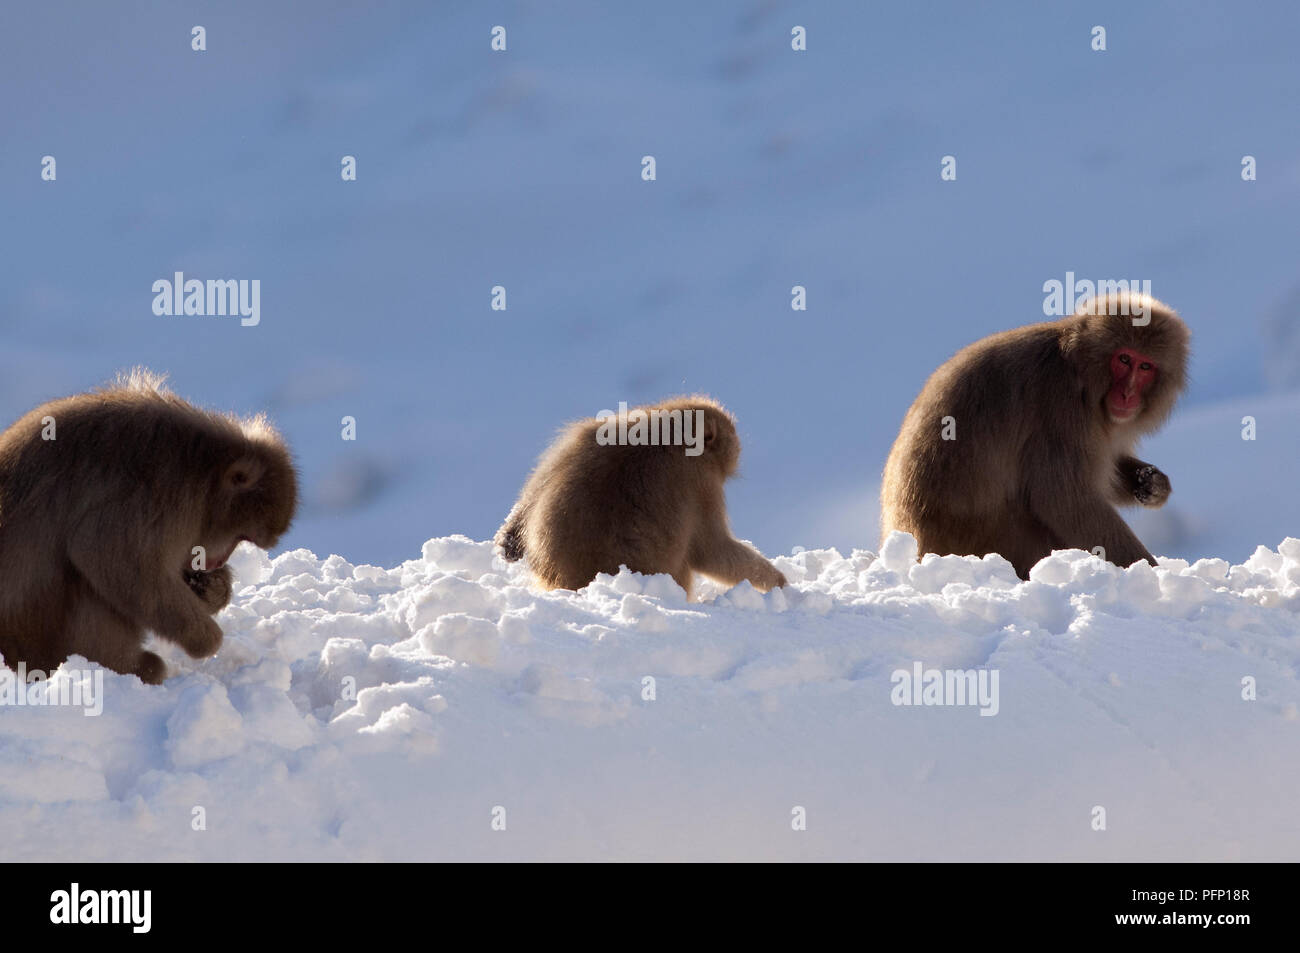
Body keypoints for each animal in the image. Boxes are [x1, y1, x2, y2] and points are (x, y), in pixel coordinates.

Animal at [0, 369, 298, 684]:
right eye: (242, 537)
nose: (219, 560)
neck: (203, 469)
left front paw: (213, 588)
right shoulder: (160, 495)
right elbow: (106, 555)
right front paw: (207, 639)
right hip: (42, 636)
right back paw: (132, 666)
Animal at [495, 396, 787, 599]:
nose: (738, 446)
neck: (669, 431)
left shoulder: (589, 432)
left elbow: (537, 487)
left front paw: (508, 539)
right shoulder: (701, 481)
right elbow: (711, 550)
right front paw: (779, 582)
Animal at [880, 292, 1190, 579]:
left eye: (1145, 367)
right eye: (1124, 359)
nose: (1127, 394)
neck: (1077, 371)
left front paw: (1152, 483)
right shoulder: (1059, 408)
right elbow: (1065, 499)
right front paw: (1151, 574)